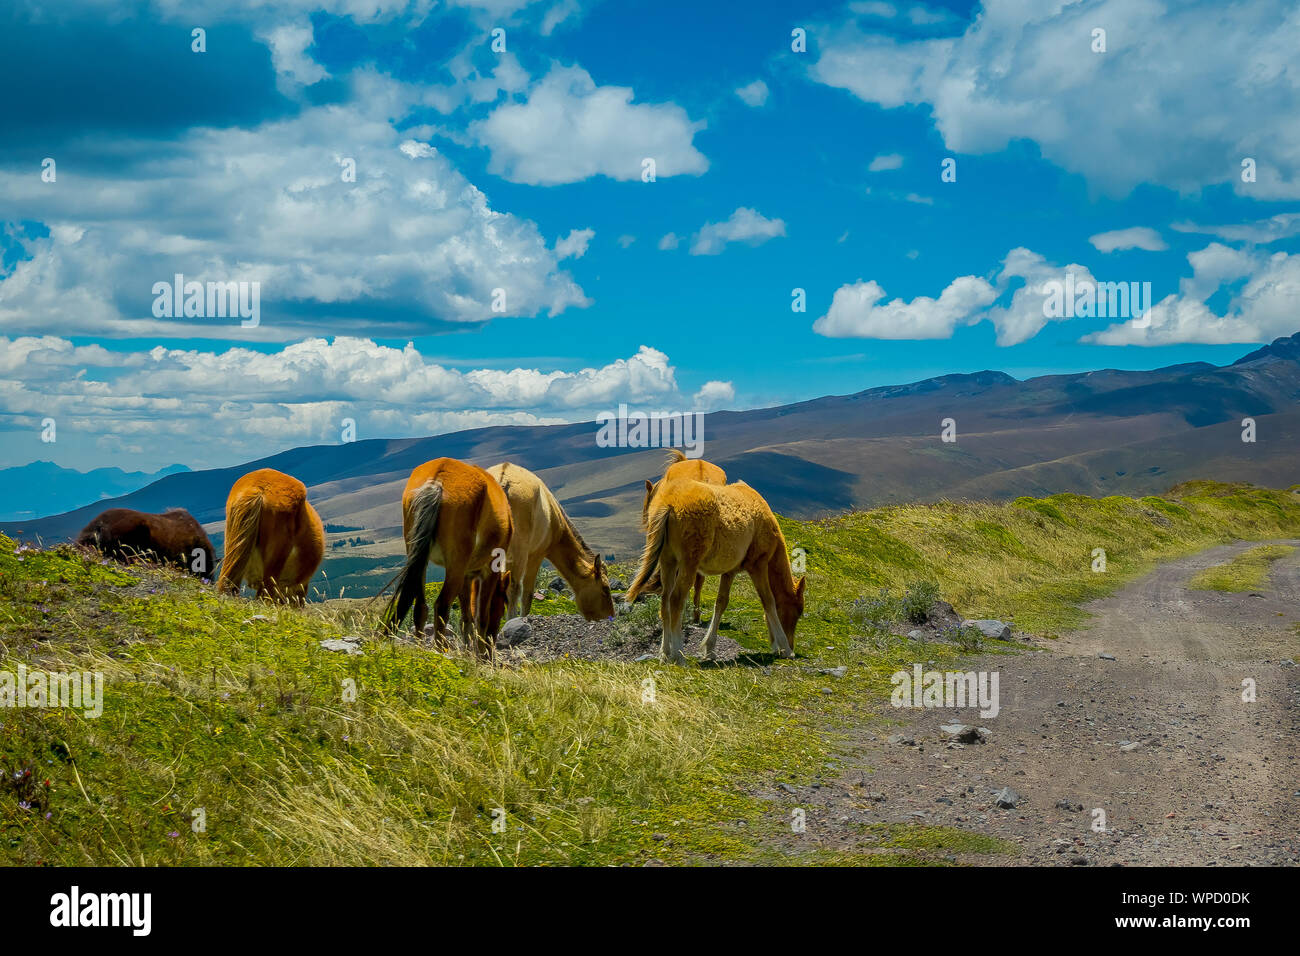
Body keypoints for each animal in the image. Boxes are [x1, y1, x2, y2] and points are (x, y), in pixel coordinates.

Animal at [382, 458, 513, 660]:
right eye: (502, 607)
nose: (491, 647)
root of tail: (437, 481)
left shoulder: (466, 575)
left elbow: (467, 617)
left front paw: (468, 651)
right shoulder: (488, 571)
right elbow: (481, 617)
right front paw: (480, 657)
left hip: (421, 561)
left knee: (420, 607)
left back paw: (421, 648)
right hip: (454, 567)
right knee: (441, 606)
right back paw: (440, 649)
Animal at [486, 462, 614, 621]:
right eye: (605, 588)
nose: (611, 616)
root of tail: (502, 482)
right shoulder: (535, 556)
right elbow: (527, 594)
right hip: (518, 552)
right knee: (514, 587)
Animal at [626, 478, 805, 664]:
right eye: (798, 612)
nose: (792, 645)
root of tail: (669, 504)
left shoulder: (729, 572)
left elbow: (721, 603)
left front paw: (709, 649)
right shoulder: (758, 565)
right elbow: (768, 601)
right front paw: (785, 648)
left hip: (668, 561)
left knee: (665, 601)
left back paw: (665, 654)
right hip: (688, 563)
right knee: (676, 599)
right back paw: (678, 656)